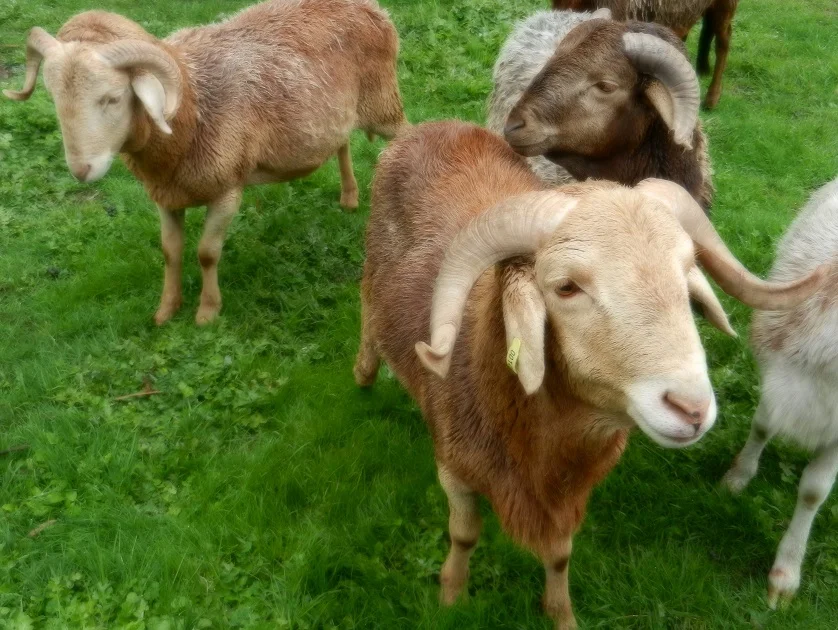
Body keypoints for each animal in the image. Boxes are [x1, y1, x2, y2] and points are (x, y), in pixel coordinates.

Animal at [3, 0, 406, 325]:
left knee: (403, 138)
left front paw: (207, 313)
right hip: (337, 115)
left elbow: (207, 253)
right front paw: (166, 310)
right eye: (54, 97)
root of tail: (372, 8)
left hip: (382, 102)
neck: (192, 109)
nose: (81, 170)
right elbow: (171, 252)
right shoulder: (166, 196)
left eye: (113, 98)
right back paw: (349, 197)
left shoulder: (227, 190)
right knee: (342, 143)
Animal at [354, 120, 824, 628]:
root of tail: (431, 126)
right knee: (367, 313)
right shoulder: (454, 469)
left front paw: (561, 614)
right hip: (372, 267)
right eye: (566, 287)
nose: (692, 409)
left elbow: (559, 556)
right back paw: (364, 373)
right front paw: (451, 596)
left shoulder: (570, 495)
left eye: (687, 272)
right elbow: (464, 534)